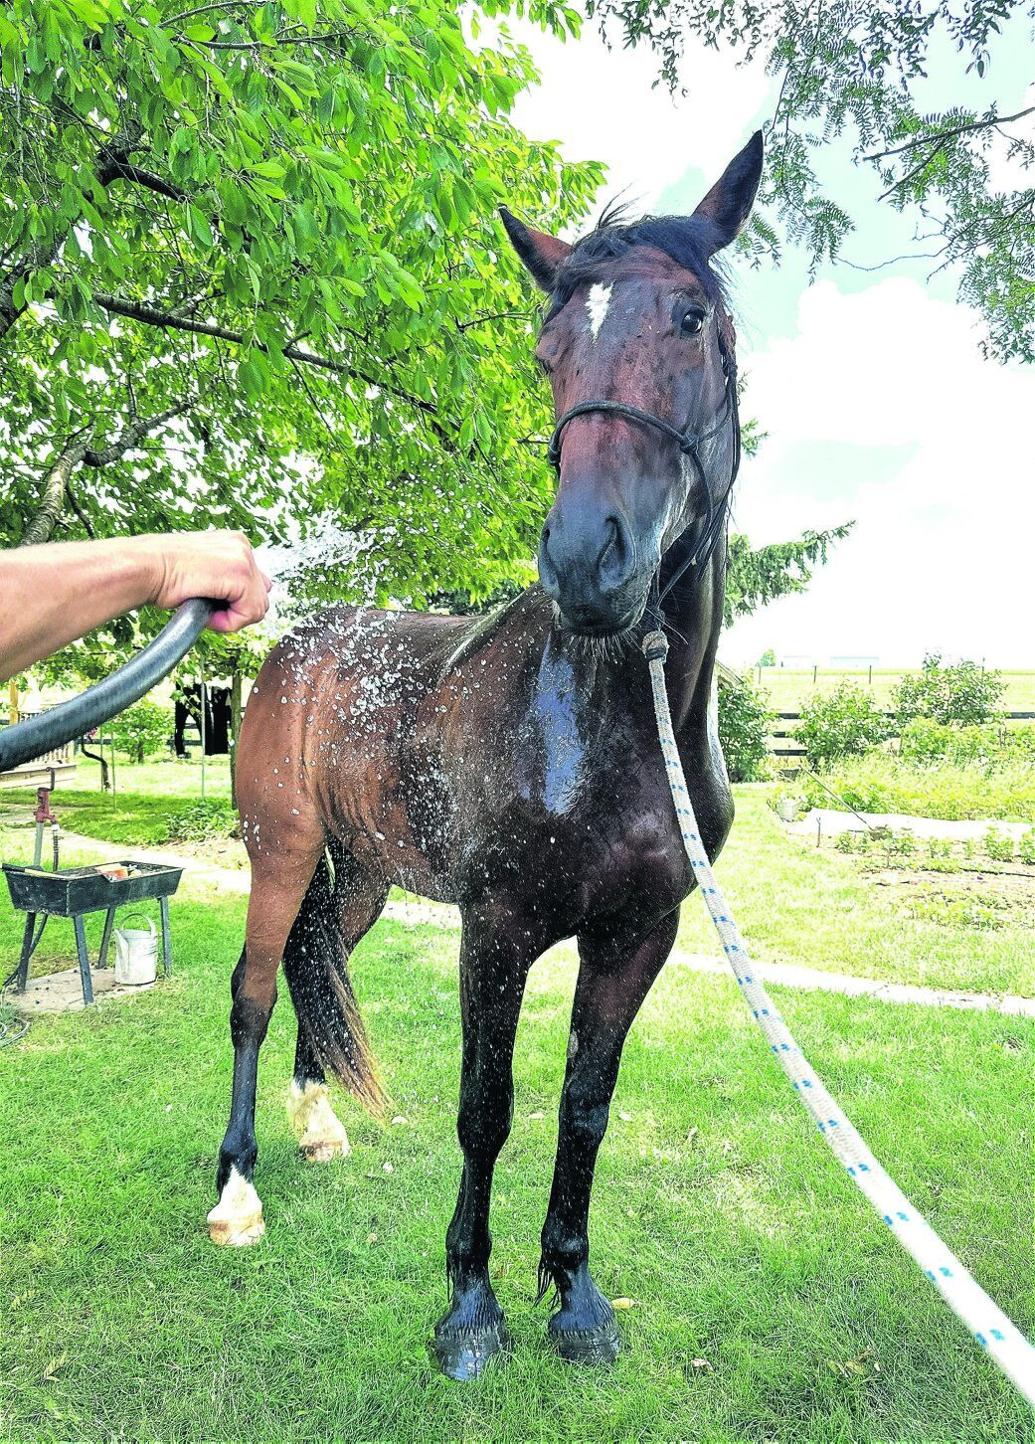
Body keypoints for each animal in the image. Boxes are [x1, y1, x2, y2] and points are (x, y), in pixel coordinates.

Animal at [207, 132, 764, 1381]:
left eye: (693, 318)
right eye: (548, 350)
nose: (589, 561)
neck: (604, 722)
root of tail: (298, 644)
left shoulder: (639, 935)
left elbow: (584, 1106)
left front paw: (576, 1295)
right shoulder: (494, 928)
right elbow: (488, 1108)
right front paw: (471, 1305)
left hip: (361, 876)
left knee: (321, 964)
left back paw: (317, 1126)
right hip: (279, 855)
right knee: (255, 994)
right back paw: (235, 1188)